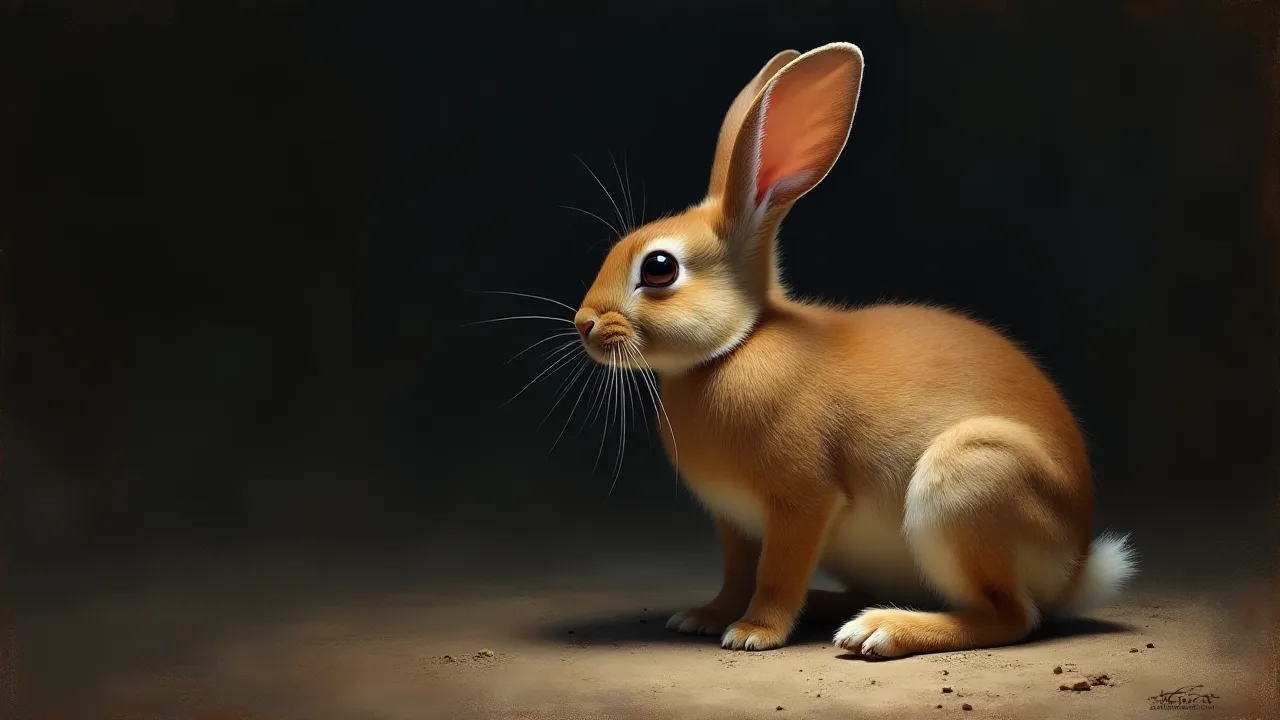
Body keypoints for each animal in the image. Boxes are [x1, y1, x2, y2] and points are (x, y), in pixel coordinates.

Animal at [571, 42, 1136, 659]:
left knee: (1011, 617)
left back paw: (880, 630)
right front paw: (704, 616)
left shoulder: (801, 504)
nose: (583, 324)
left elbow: (776, 575)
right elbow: (736, 575)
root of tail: (1078, 567)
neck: (736, 345)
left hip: (968, 484)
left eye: (659, 268)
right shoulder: (735, 523)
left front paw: (752, 632)